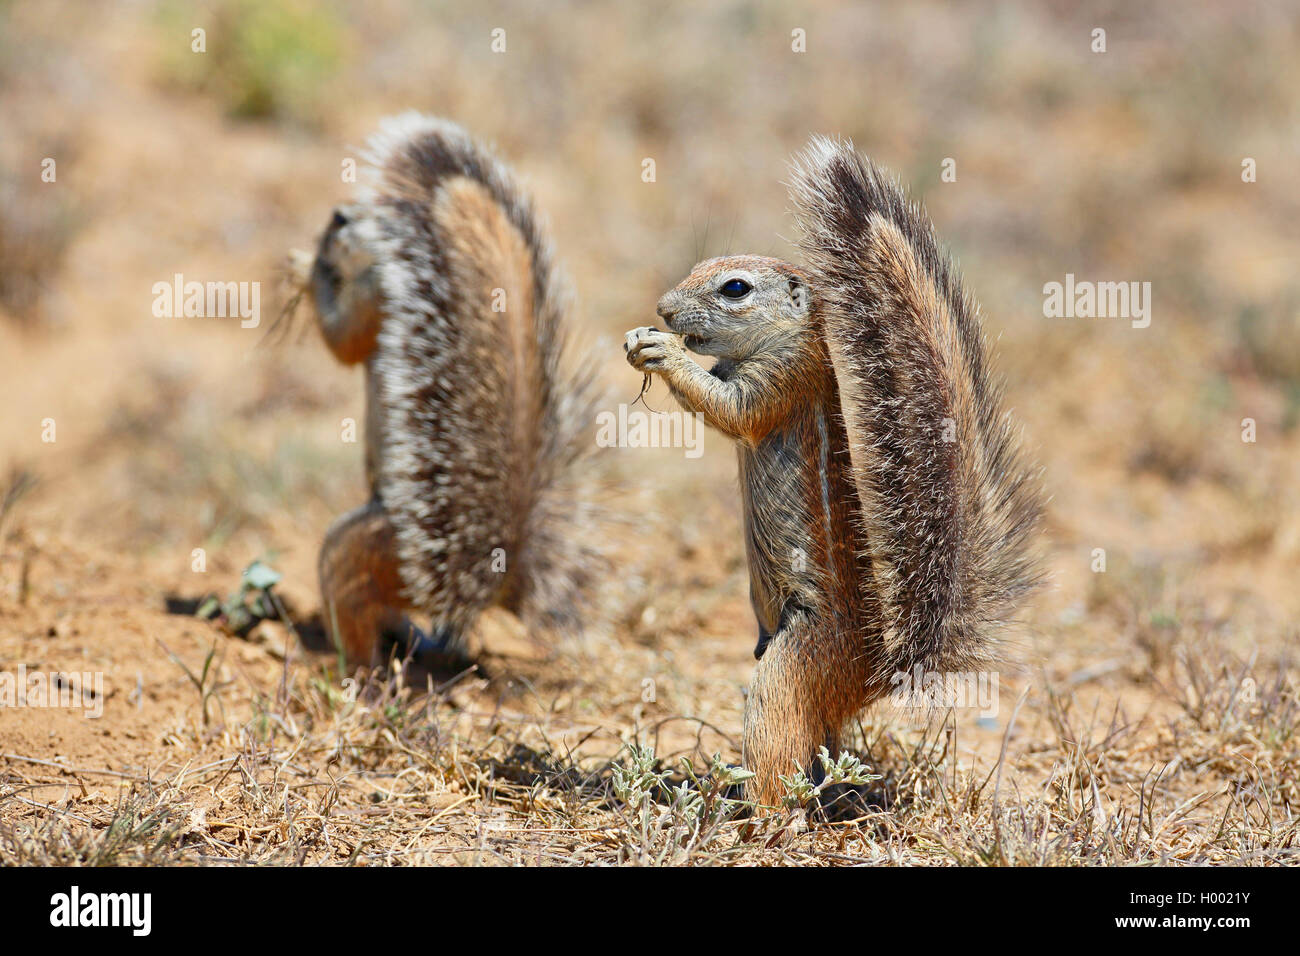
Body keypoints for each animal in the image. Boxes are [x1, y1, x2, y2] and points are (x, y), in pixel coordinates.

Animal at [293, 114, 611, 667]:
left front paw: (307, 271)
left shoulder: (374, 299)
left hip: (363, 551)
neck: (388, 258)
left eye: (353, 223)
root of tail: (492, 583)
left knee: (353, 610)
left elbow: (344, 340)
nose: (334, 215)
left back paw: (351, 666)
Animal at [624, 136, 1043, 806]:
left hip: (793, 664)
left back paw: (753, 810)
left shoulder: (784, 381)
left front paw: (662, 352)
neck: (799, 334)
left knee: (780, 750)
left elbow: (732, 411)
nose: (663, 309)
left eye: (735, 288)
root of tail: (879, 669)